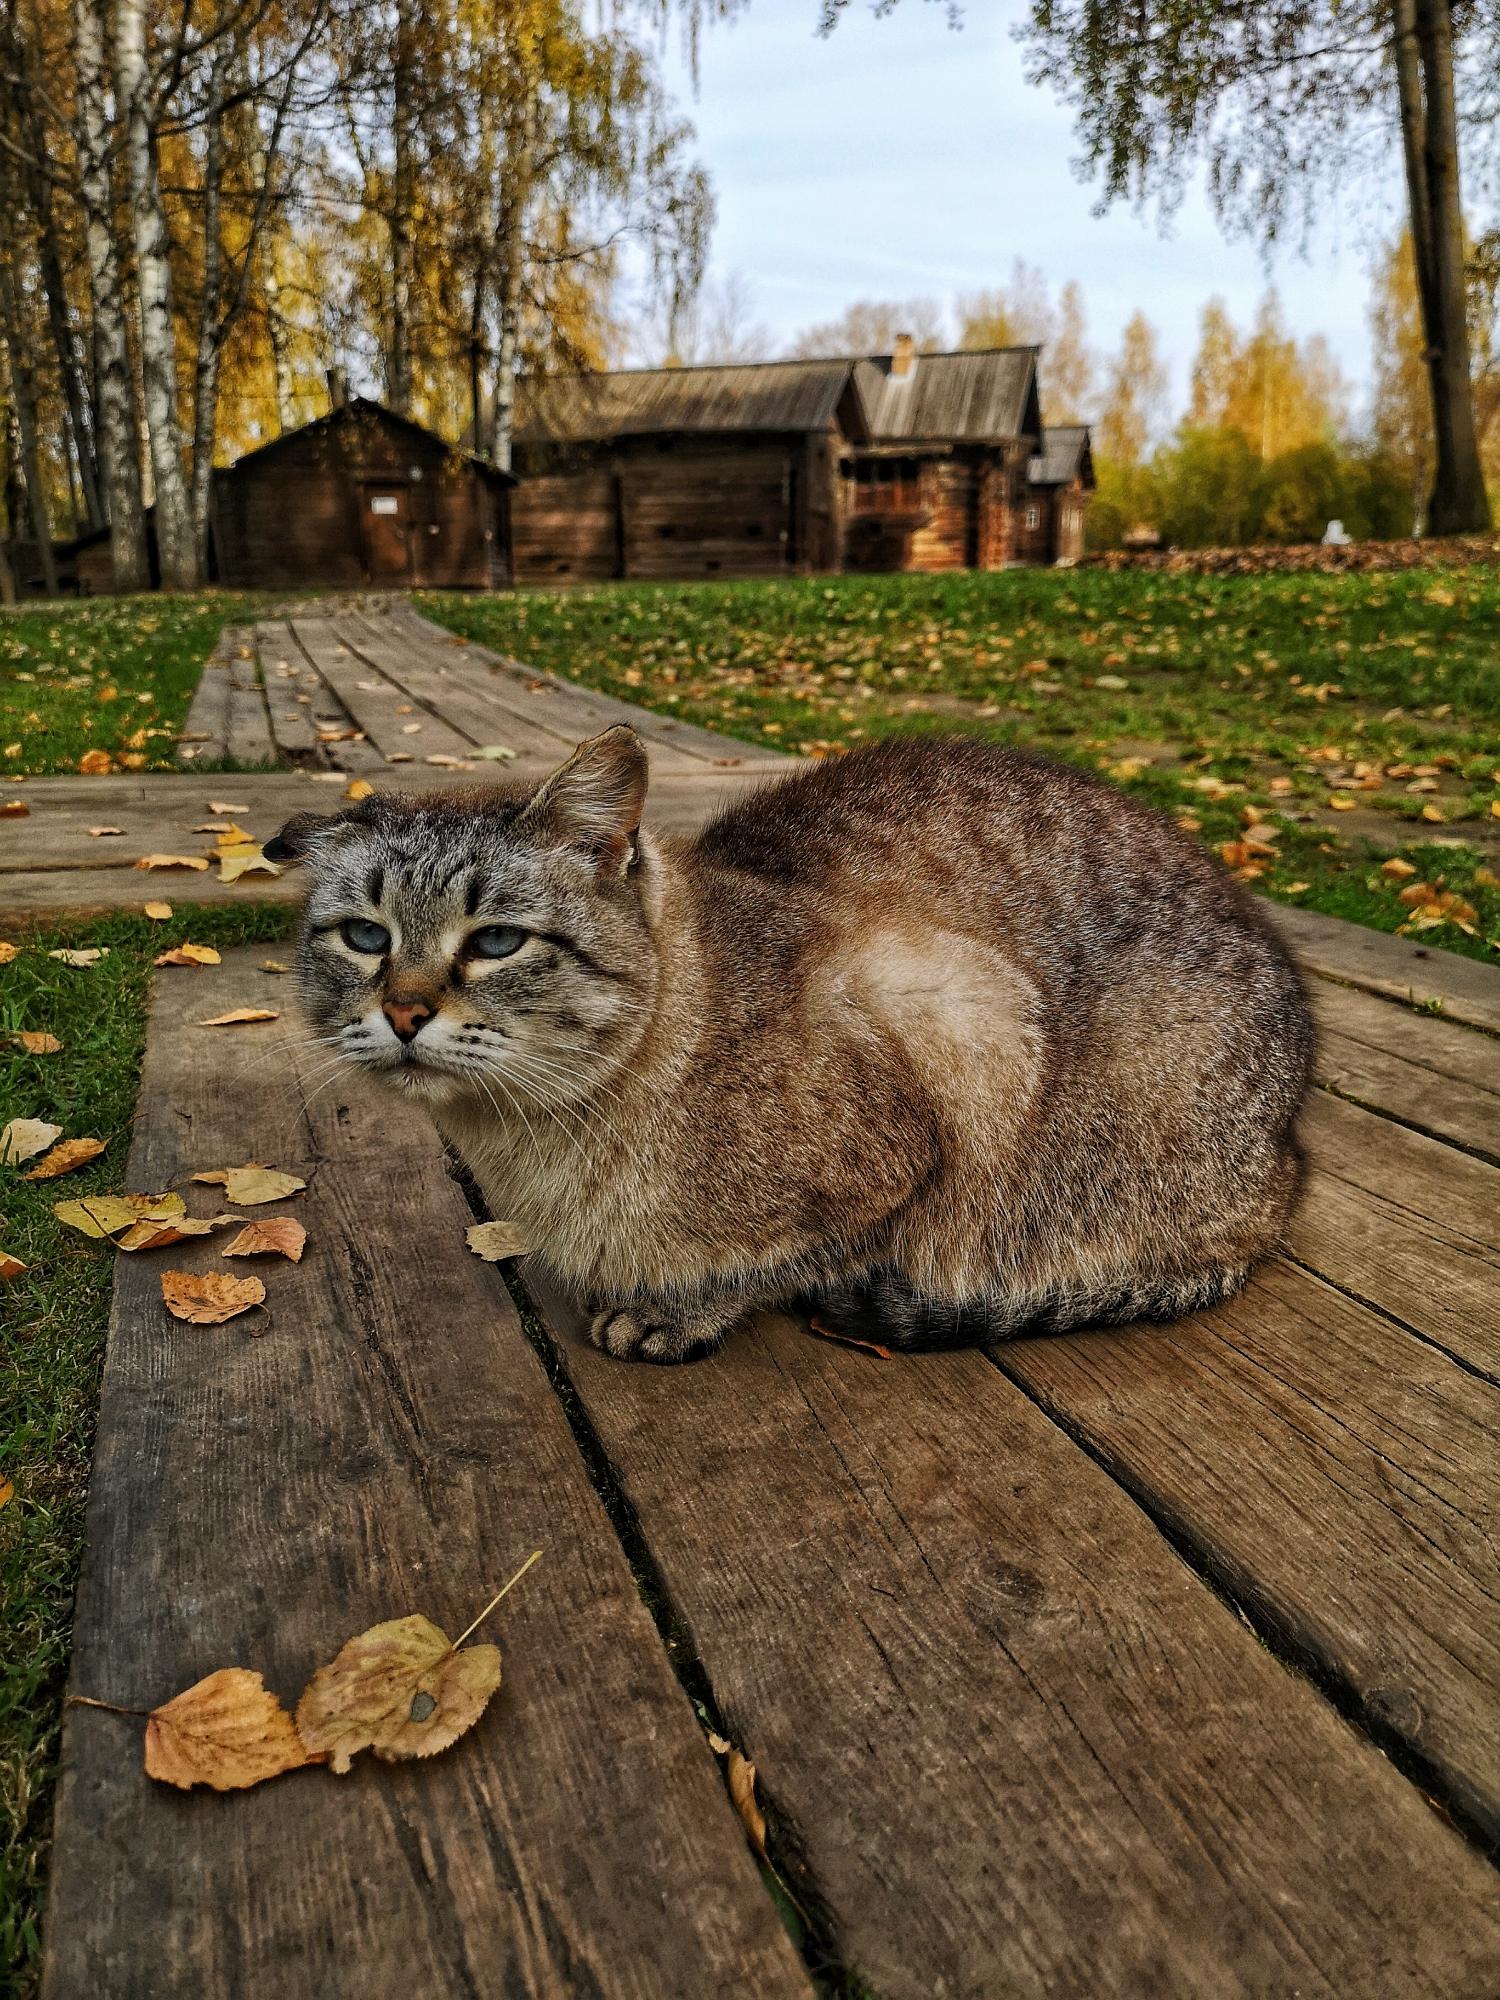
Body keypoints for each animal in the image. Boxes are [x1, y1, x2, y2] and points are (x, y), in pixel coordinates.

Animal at [270, 728, 1312, 1368]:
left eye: (494, 942)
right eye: (364, 938)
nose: (405, 1014)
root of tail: (1288, 1163)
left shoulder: (954, 1058)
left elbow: (781, 1261)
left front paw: (677, 1308)